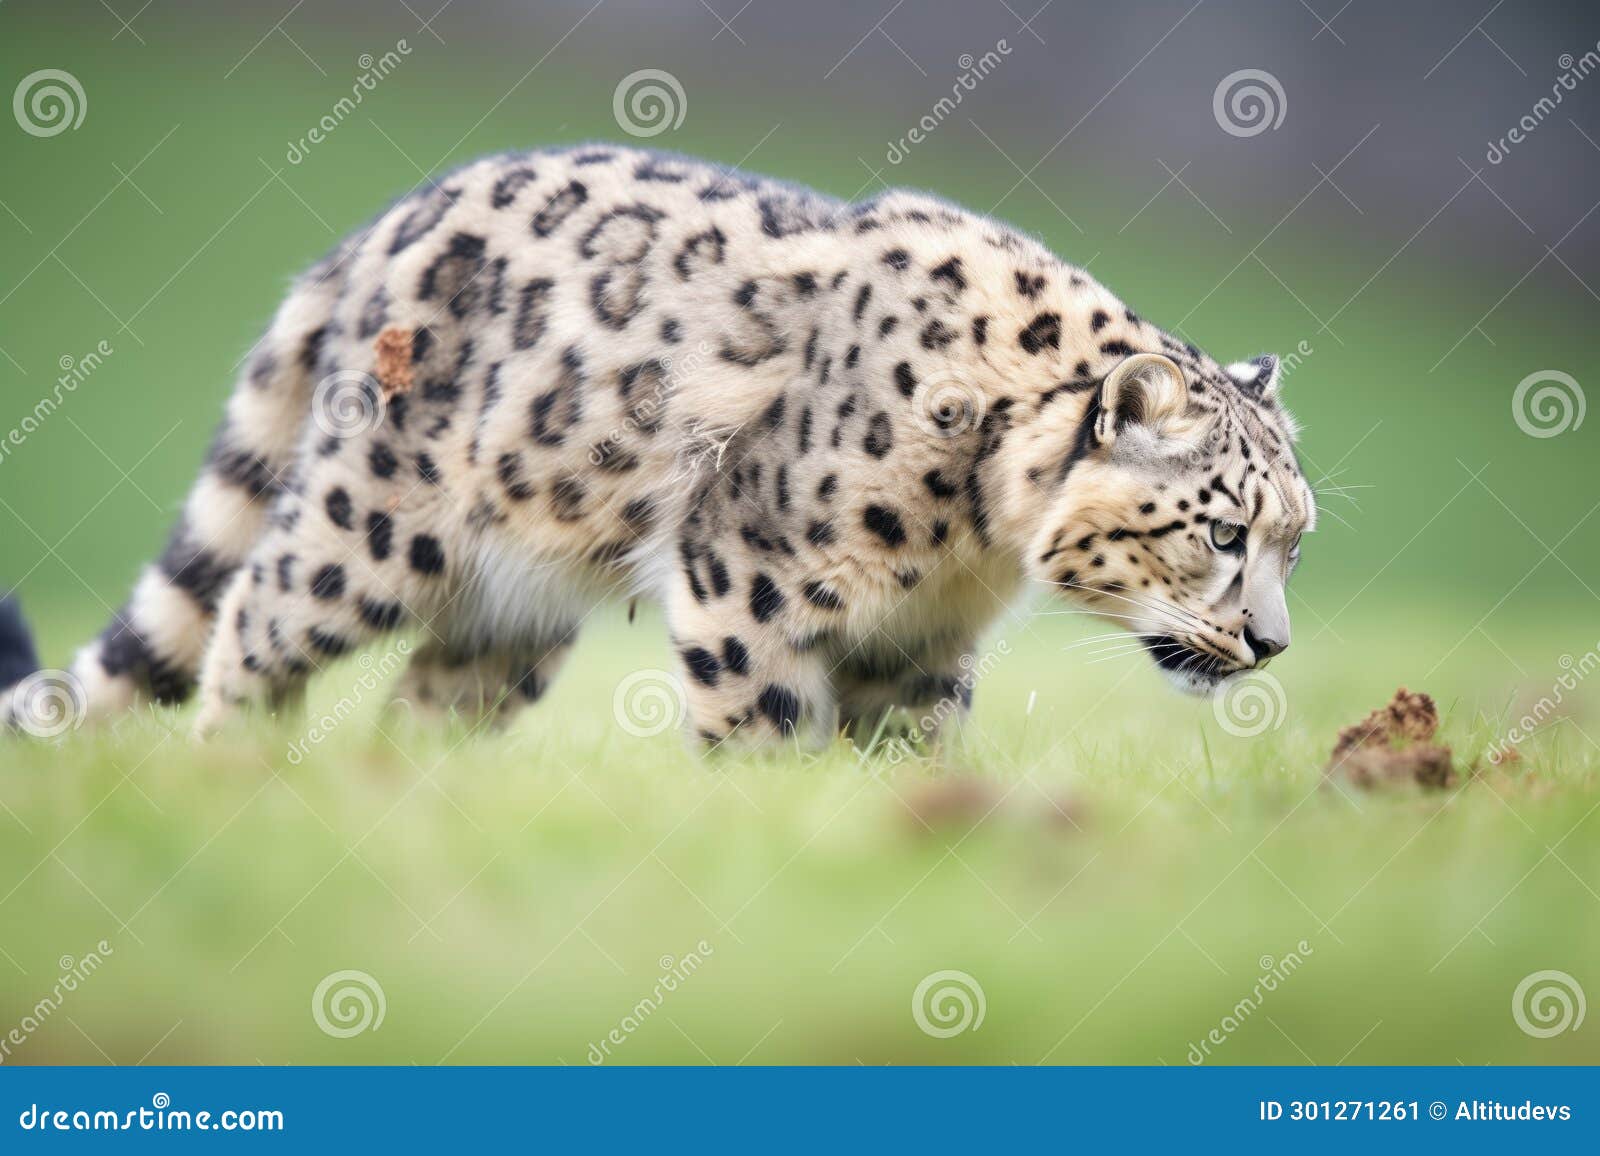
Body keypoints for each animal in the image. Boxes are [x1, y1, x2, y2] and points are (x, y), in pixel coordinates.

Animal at [1, 144, 1314, 750]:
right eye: (1220, 530)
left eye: (1294, 542)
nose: (1271, 643)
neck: (969, 546)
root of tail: (381, 223)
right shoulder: (753, 572)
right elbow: (761, 718)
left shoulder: (921, 644)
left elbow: (914, 751)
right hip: (362, 533)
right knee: (252, 616)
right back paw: (241, 773)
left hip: (512, 610)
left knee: (426, 706)